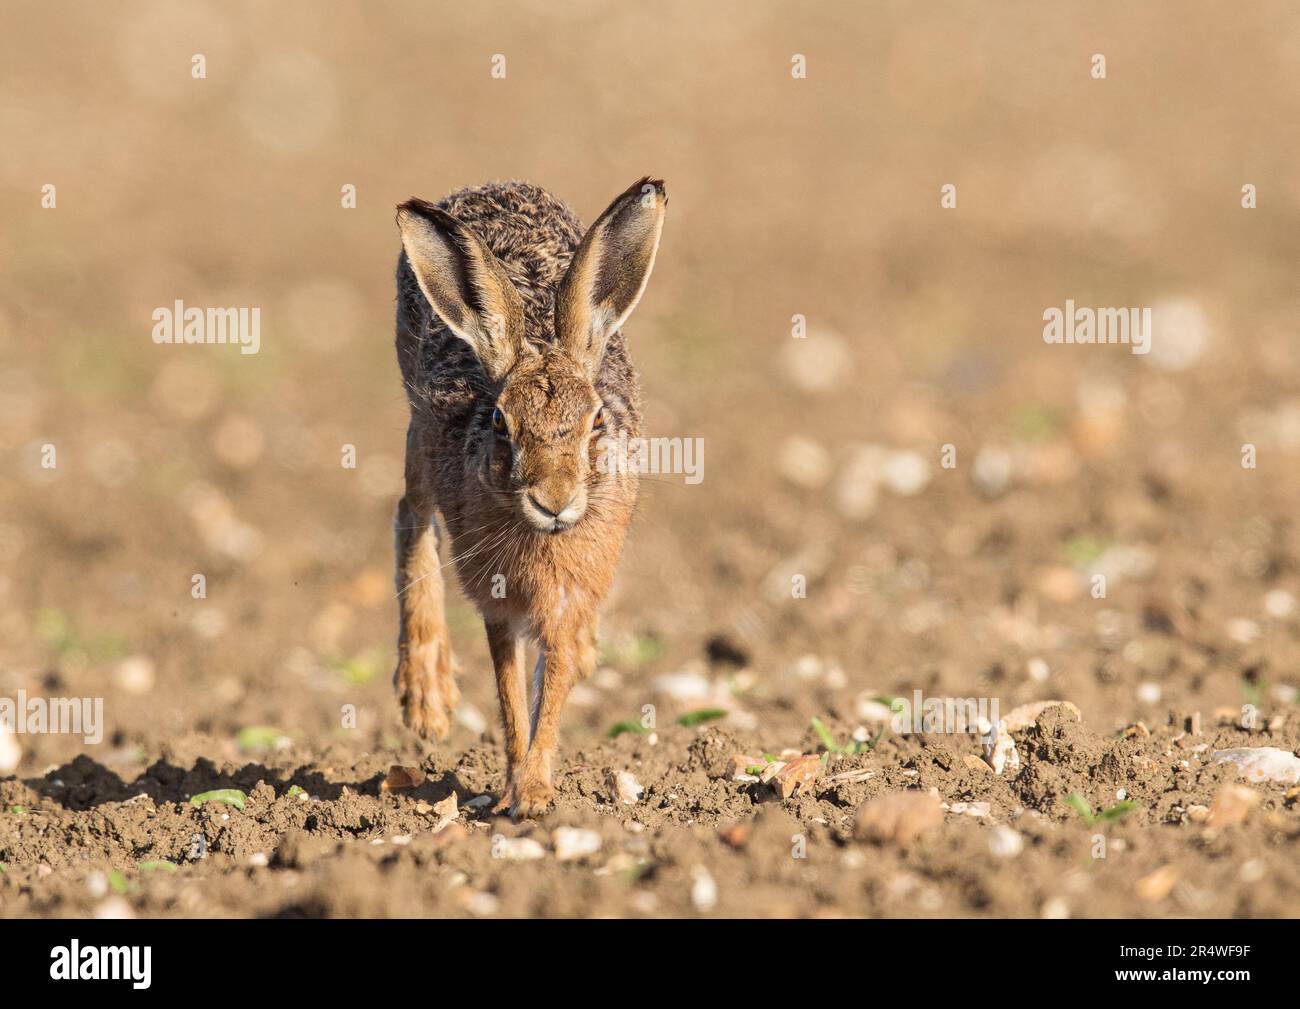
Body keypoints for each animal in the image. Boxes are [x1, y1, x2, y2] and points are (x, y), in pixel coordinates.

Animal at [391, 177, 667, 818]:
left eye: (596, 422)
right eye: (500, 422)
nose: (554, 501)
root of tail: (491, 186)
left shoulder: (570, 591)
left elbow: (555, 678)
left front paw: (536, 792)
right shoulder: (497, 603)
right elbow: (509, 691)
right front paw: (520, 791)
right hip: (418, 431)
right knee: (412, 515)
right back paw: (427, 695)